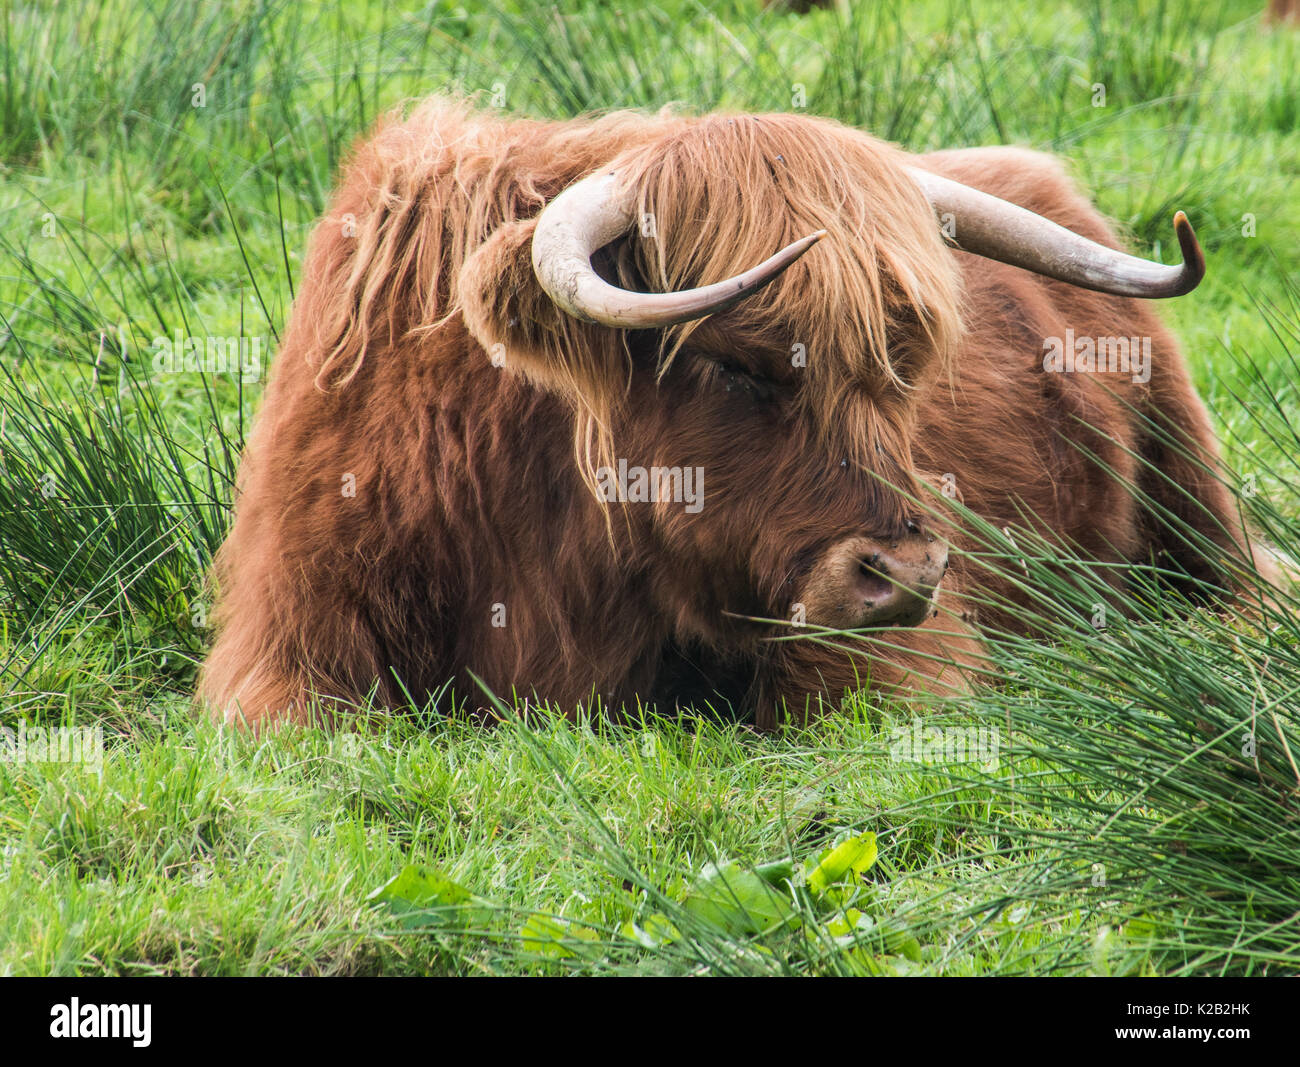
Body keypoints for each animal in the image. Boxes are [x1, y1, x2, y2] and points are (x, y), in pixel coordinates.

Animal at [198, 99, 1258, 730]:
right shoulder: (284, 647)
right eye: (730, 364)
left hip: (1199, 500)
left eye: (902, 366)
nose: (905, 572)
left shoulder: (904, 653)